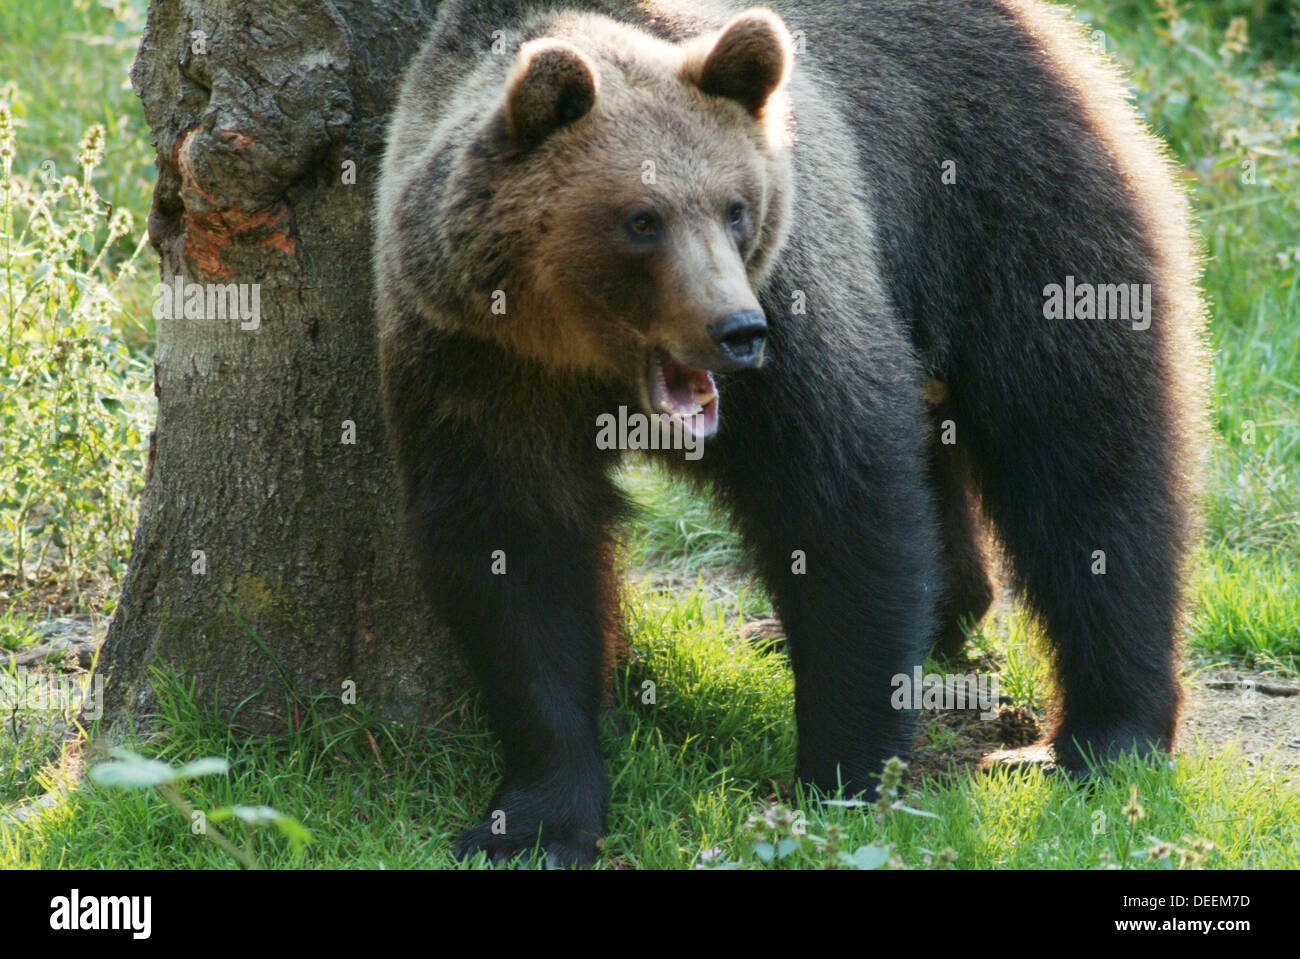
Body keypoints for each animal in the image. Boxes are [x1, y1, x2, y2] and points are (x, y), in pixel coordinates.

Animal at [373, 0, 1206, 867]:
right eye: (642, 219)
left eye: (736, 207)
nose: (736, 330)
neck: (589, 359)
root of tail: (1055, 38)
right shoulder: (480, 366)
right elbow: (518, 556)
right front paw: (532, 820)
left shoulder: (795, 312)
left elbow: (842, 503)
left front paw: (838, 773)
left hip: (1014, 207)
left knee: (1084, 463)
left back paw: (1097, 735)